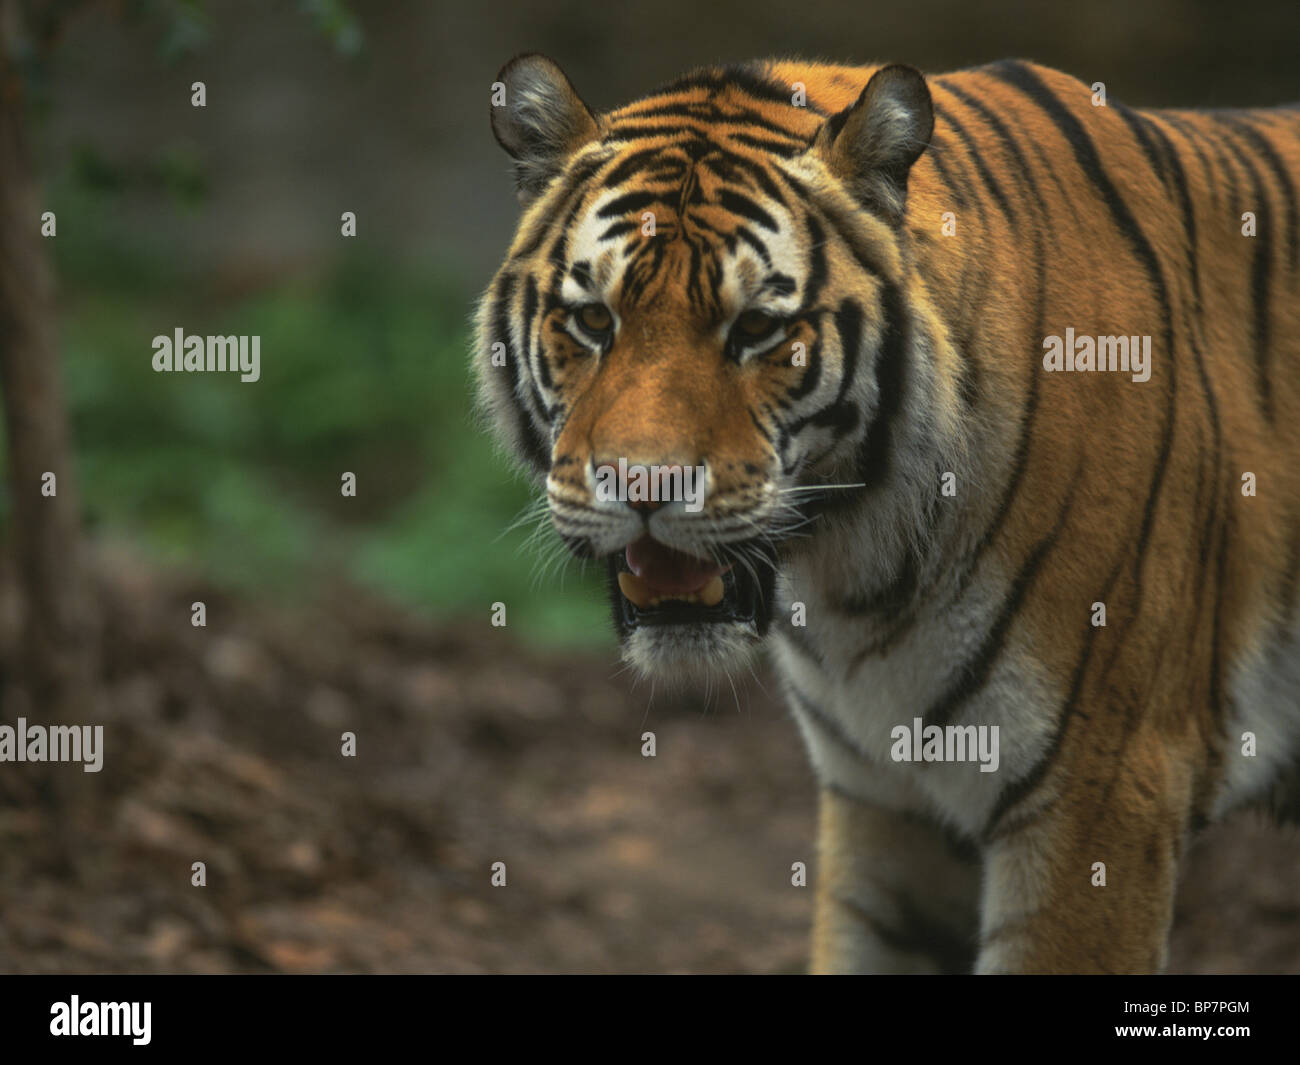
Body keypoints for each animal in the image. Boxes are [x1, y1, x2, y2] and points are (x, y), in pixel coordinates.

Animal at [474, 53, 1300, 974]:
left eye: (757, 328)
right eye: (593, 319)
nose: (643, 484)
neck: (861, 575)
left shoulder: (1105, 790)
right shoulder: (886, 801)